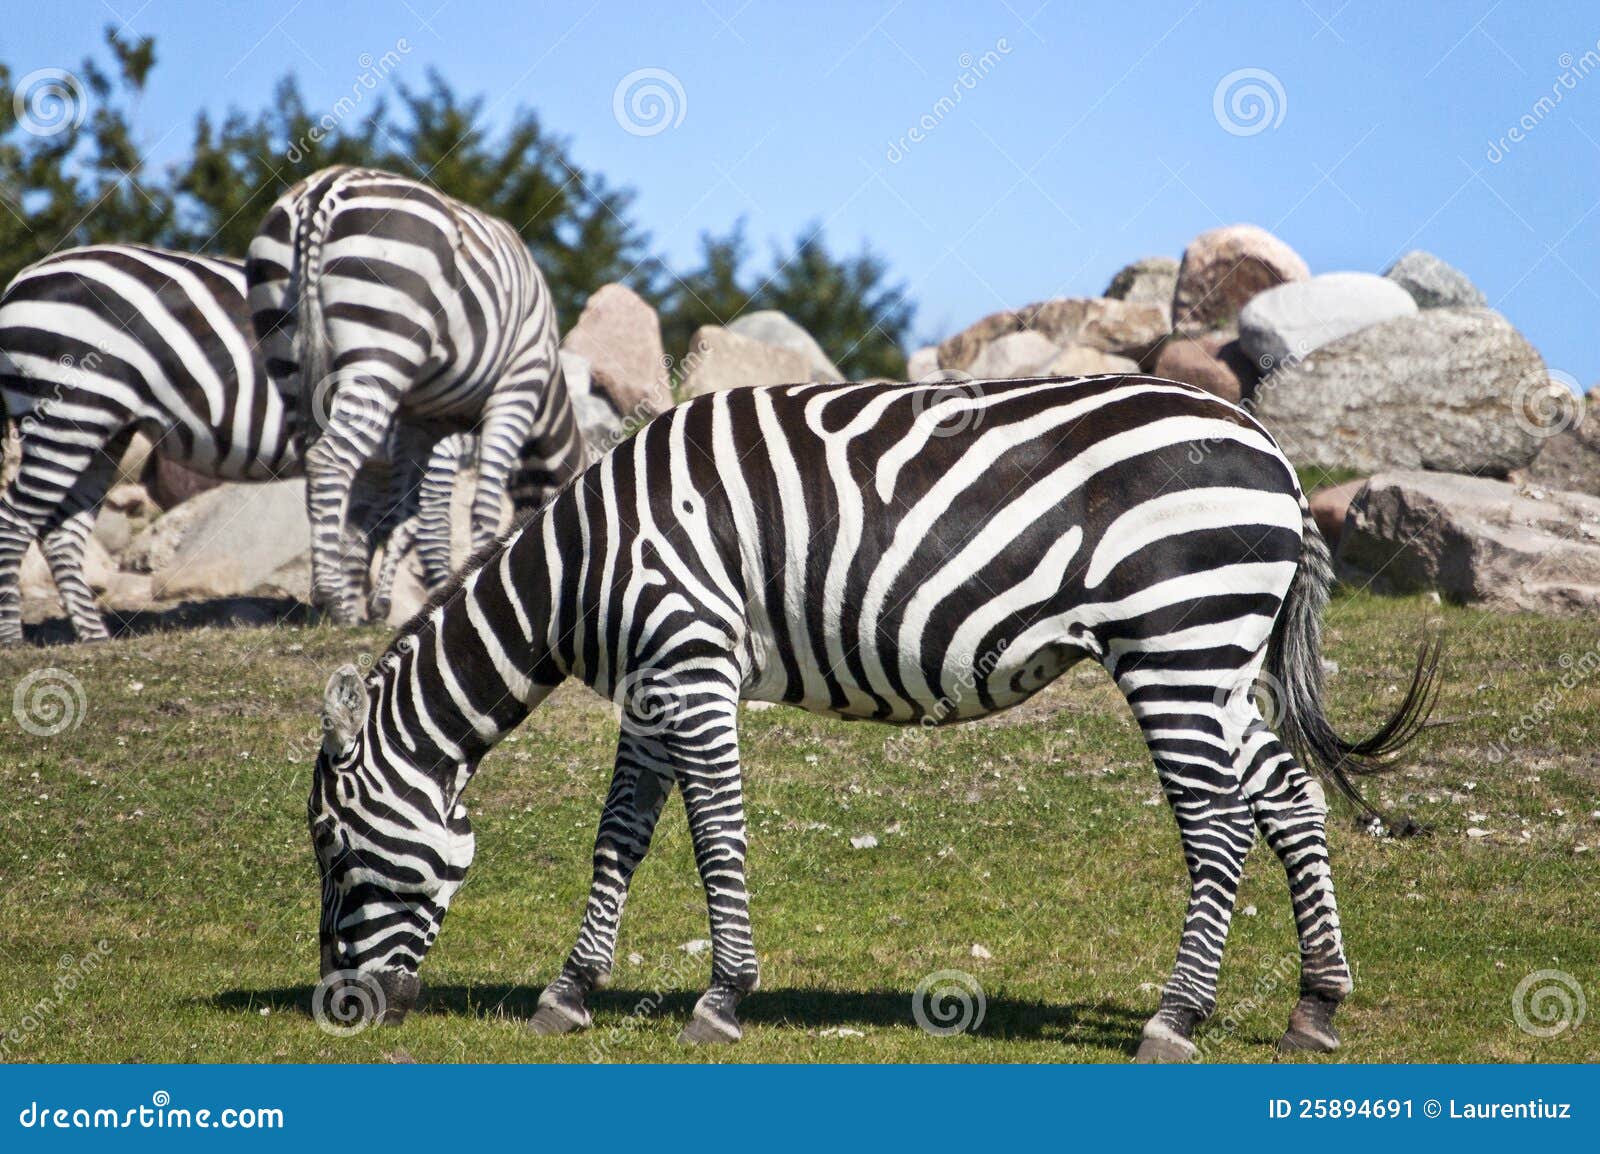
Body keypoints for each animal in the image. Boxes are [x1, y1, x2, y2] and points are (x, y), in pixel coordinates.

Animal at [247, 166, 585, 626]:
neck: (548, 394)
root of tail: (323, 189)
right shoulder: (517, 386)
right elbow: (479, 506)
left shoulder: (419, 420)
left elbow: (404, 513)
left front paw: (386, 603)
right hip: (381, 336)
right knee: (330, 459)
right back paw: (335, 601)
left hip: (285, 345)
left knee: (314, 462)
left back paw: (328, 594)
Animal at [307, 375, 1438, 1060]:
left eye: (333, 850)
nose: (336, 1010)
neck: (581, 566)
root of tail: (1276, 456)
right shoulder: (650, 687)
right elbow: (619, 835)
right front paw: (570, 990)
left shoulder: (692, 661)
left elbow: (714, 834)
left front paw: (723, 997)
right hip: (1218, 658)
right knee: (1287, 797)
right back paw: (1315, 1003)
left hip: (1176, 643)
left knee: (1217, 824)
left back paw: (1174, 1018)